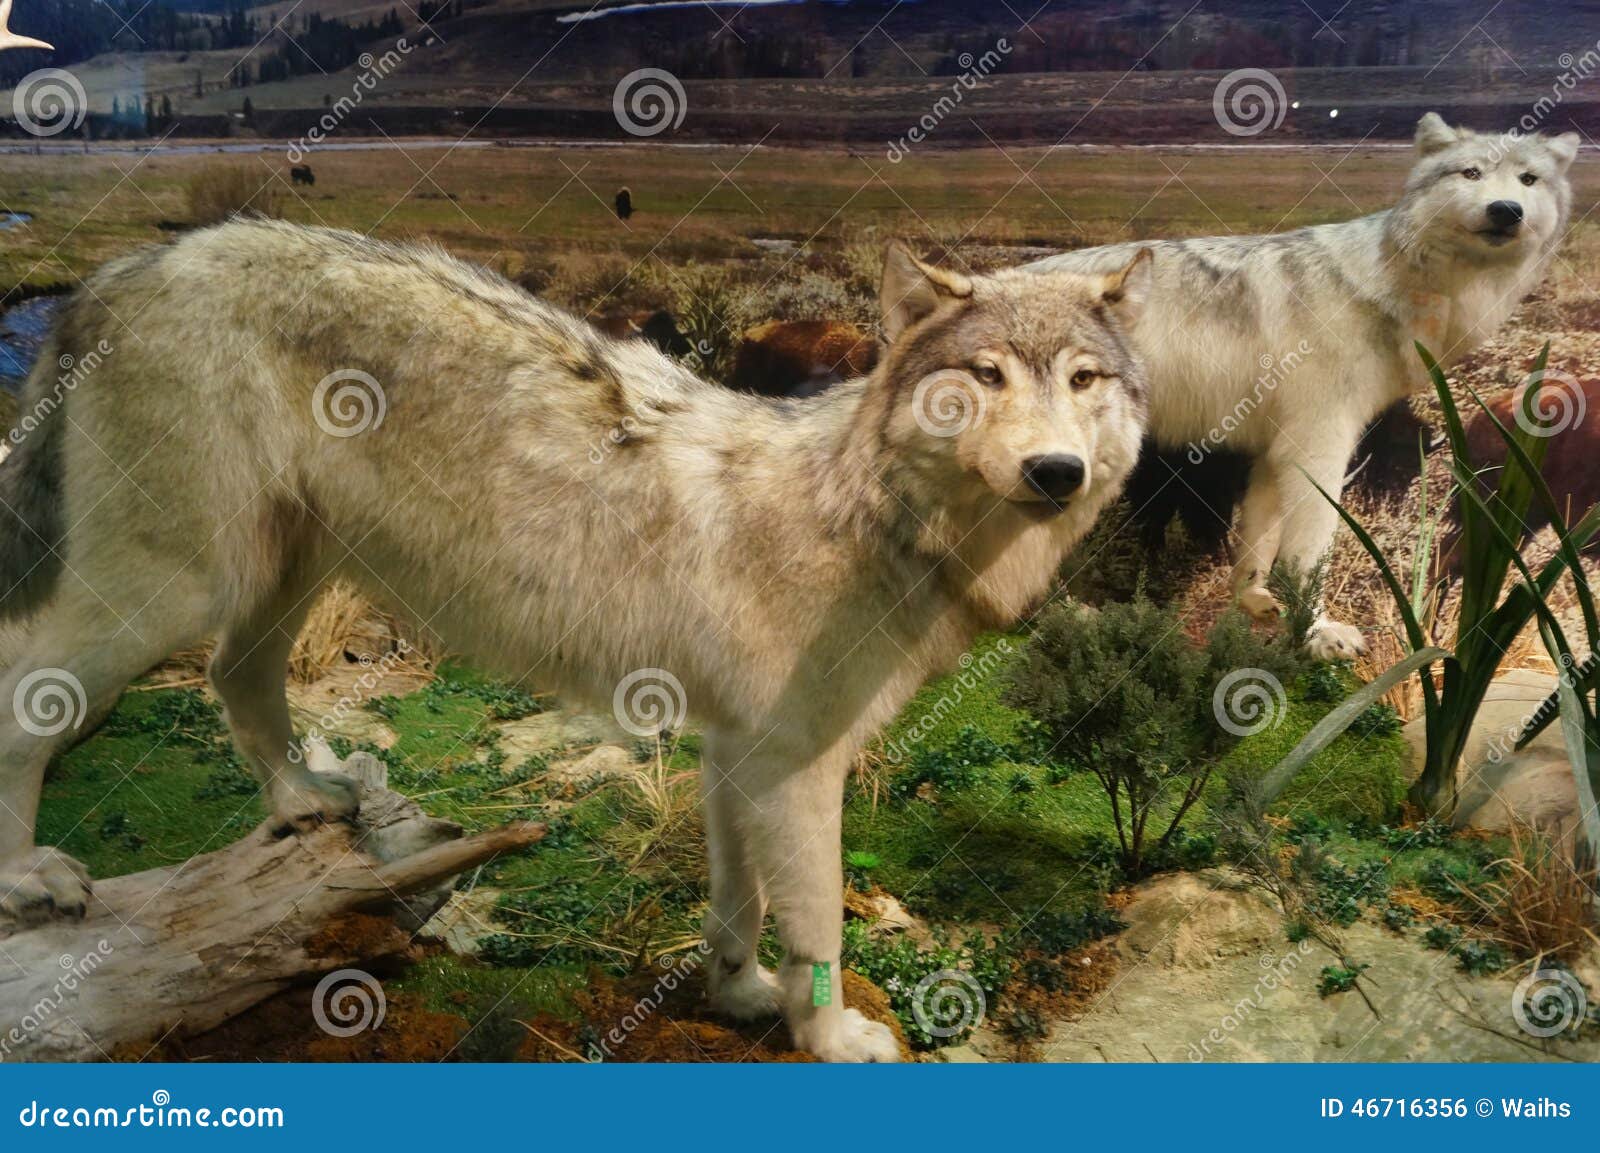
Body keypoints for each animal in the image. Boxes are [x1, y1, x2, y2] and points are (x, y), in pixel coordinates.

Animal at [0, 219, 1150, 1061]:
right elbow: (818, 924)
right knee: (29, 692)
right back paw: (28, 877)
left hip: (277, 578)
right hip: (168, 589)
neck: (865, 513)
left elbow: (736, 905)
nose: (1056, 472)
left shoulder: (734, 754)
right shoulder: (796, 768)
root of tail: (124, 267)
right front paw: (827, 1035)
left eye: (1083, 380)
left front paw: (739, 995)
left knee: (237, 676)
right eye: (987, 376)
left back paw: (298, 801)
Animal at [1029, 112, 1577, 659]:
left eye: (1528, 180)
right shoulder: (1319, 446)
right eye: (1471, 173)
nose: (1505, 210)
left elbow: (1260, 547)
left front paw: (1255, 603)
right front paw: (1316, 633)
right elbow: (1312, 550)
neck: (1394, 284)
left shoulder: (1275, 452)